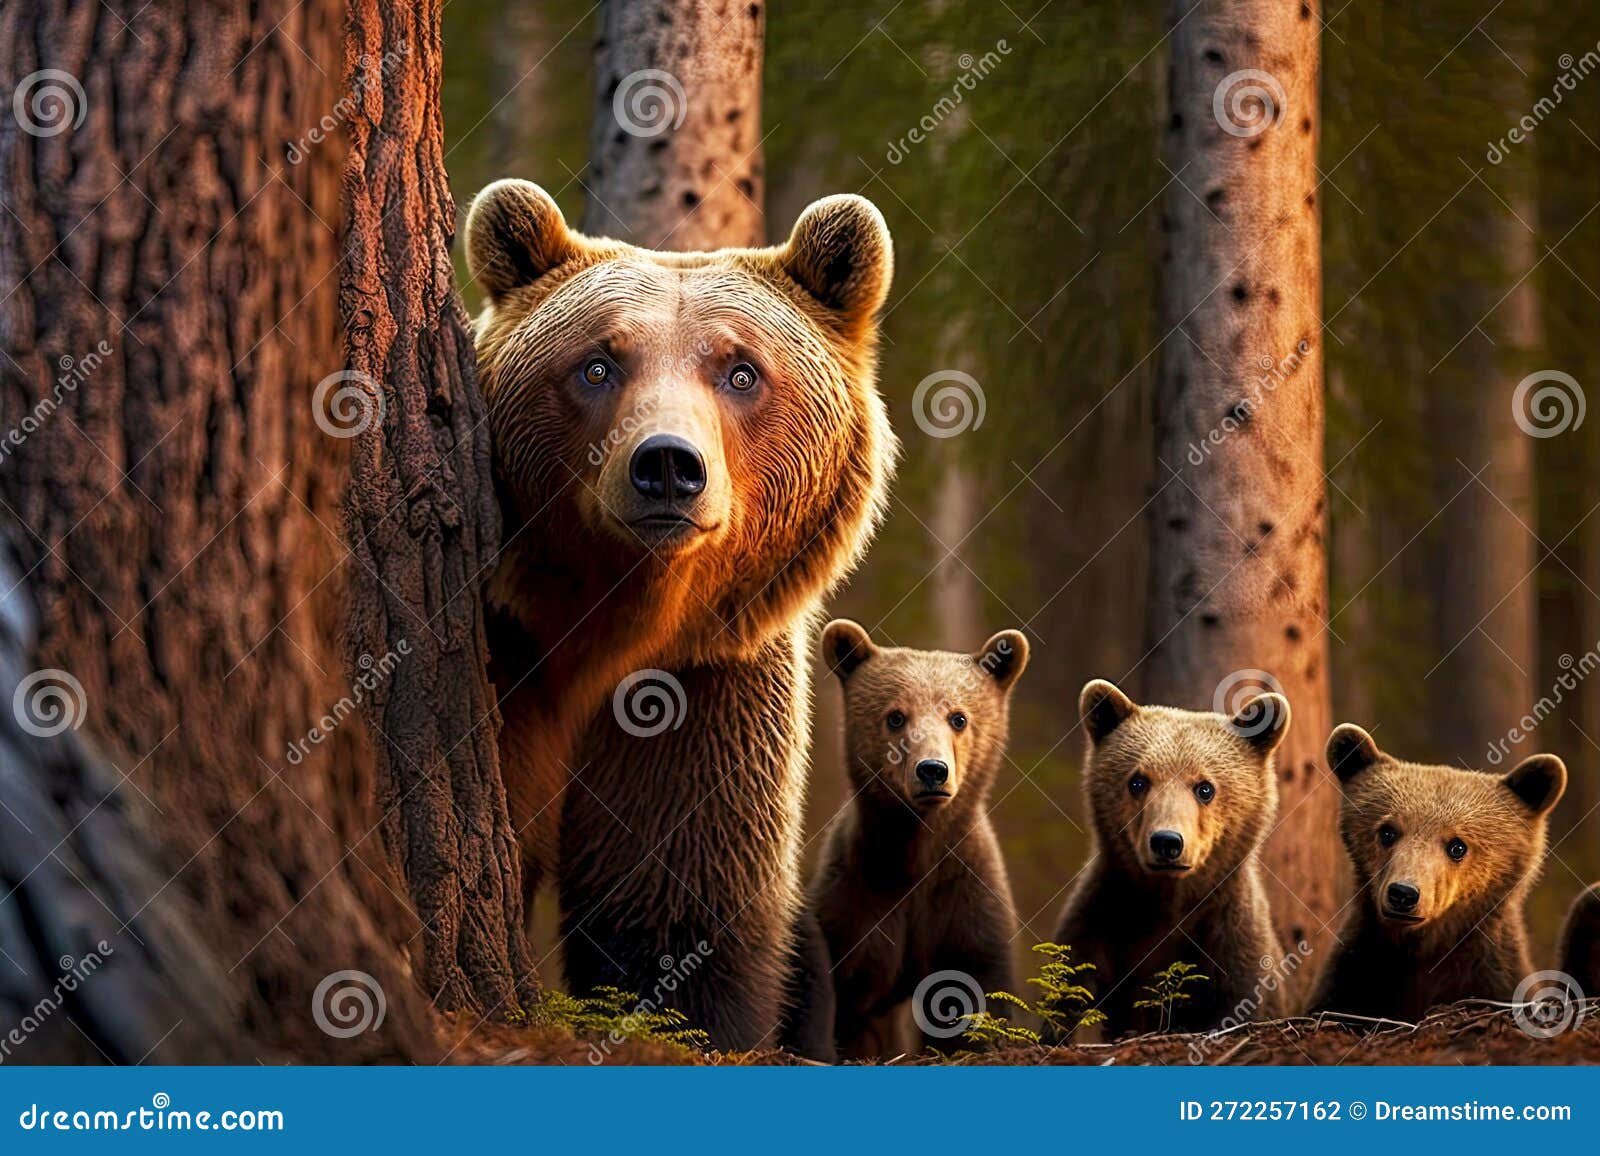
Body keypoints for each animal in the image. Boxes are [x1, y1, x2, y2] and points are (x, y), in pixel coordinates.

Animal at [463, 179, 896, 1050]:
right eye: (597, 363)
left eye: (741, 370)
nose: (667, 464)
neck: (613, 627)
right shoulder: (506, 662)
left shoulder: (701, 687)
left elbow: (676, 909)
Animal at [792, 620, 1028, 1060]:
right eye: (896, 716)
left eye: (958, 717)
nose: (932, 770)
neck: (915, 851)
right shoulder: (857, 902)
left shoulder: (964, 897)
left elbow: (979, 986)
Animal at [1050, 679, 1292, 1037]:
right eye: (1138, 781)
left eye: (1205, 788)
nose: (1166, 841)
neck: (1170, 901)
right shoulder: (1102, 917)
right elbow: (1071, 983)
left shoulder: (1230, 938)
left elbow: (1240, 1002)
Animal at [1310, 724, 1566, 1022]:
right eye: (1388, 831)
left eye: (1457, 846)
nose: (1403, 893)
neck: (1425, 946)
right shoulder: (1355, 972)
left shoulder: (1494, 974)